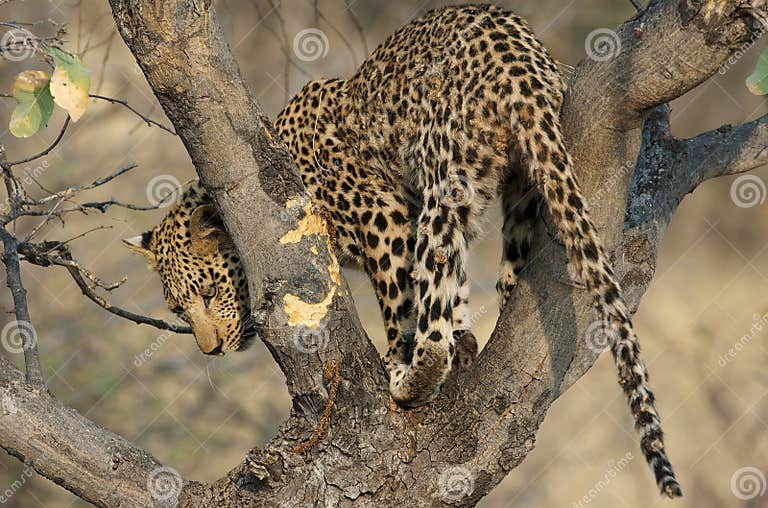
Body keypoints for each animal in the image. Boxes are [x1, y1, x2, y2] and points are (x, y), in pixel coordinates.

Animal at [123, 4, 681, 497]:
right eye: (178, 308)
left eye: (210, 291)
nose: (209, 349)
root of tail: (518, 52)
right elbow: (453, 288)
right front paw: (464, 339)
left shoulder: (385, 216)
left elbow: (404, 299)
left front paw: (404, 356)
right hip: (517, 184)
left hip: (438, 172)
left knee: (428, 302)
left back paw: (410, 376)